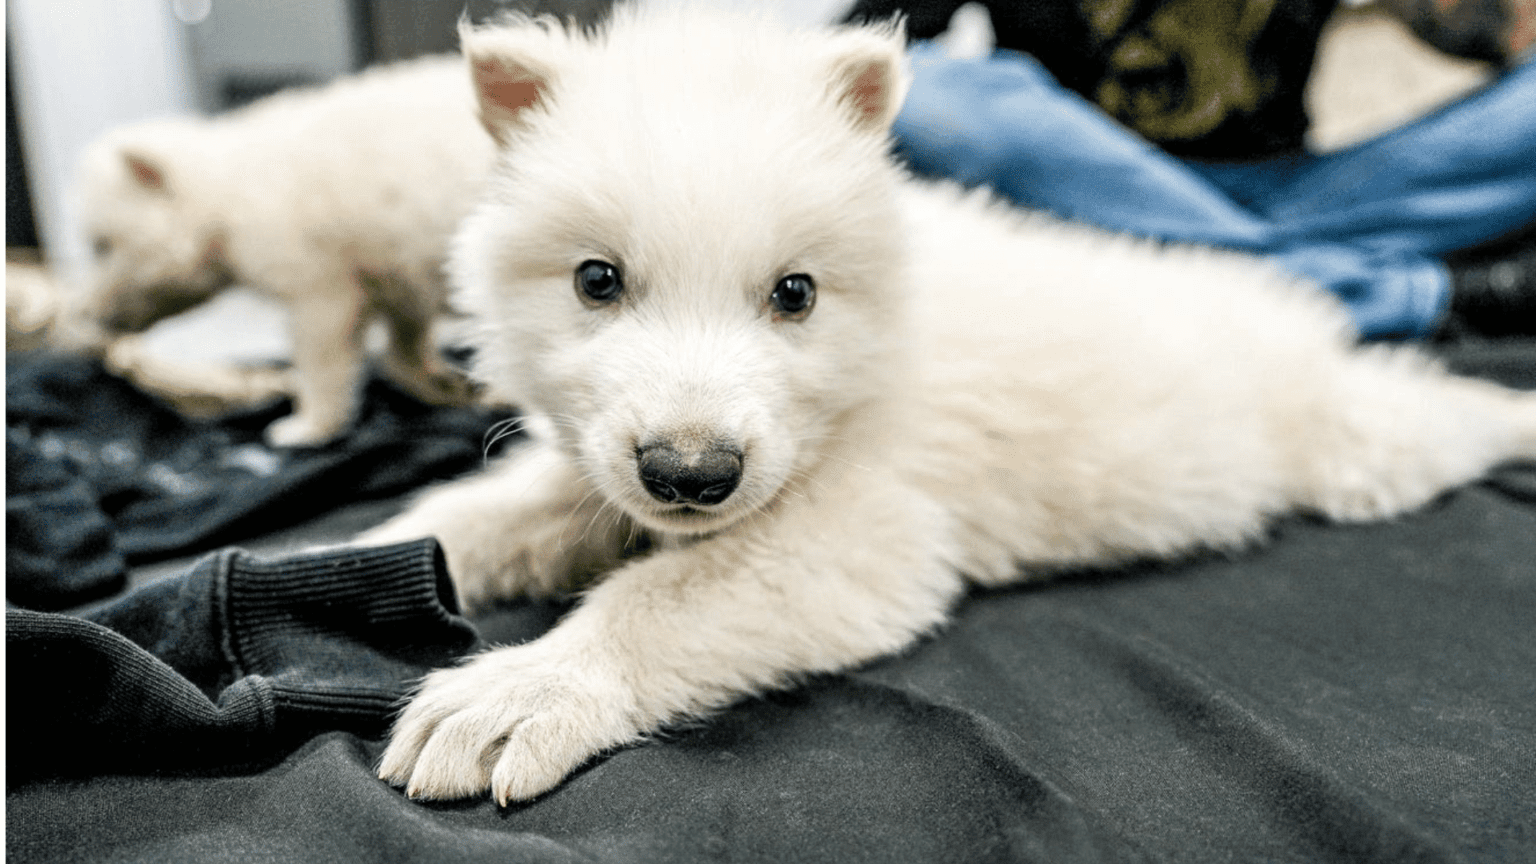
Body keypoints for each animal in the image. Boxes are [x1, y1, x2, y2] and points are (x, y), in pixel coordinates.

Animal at [76, 55, 494, 447]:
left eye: (101, 246)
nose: (88, 314)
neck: (227, 192)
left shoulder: (320, 286)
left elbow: (320, 360)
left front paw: (309, 427)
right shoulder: (393, 271)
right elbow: (404, 344)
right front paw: (440, 384)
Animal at [359, 4, 1536, 804]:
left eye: (796, 292)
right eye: (596, 280)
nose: (692, 475)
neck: (864, 376)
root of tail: (1300, 324)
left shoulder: (873, 521)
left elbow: (675, 595)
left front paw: (520, 693)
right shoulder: (600, 467)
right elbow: (489, 513)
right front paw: (367, 556)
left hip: (1348, 439)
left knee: (1431, 414)